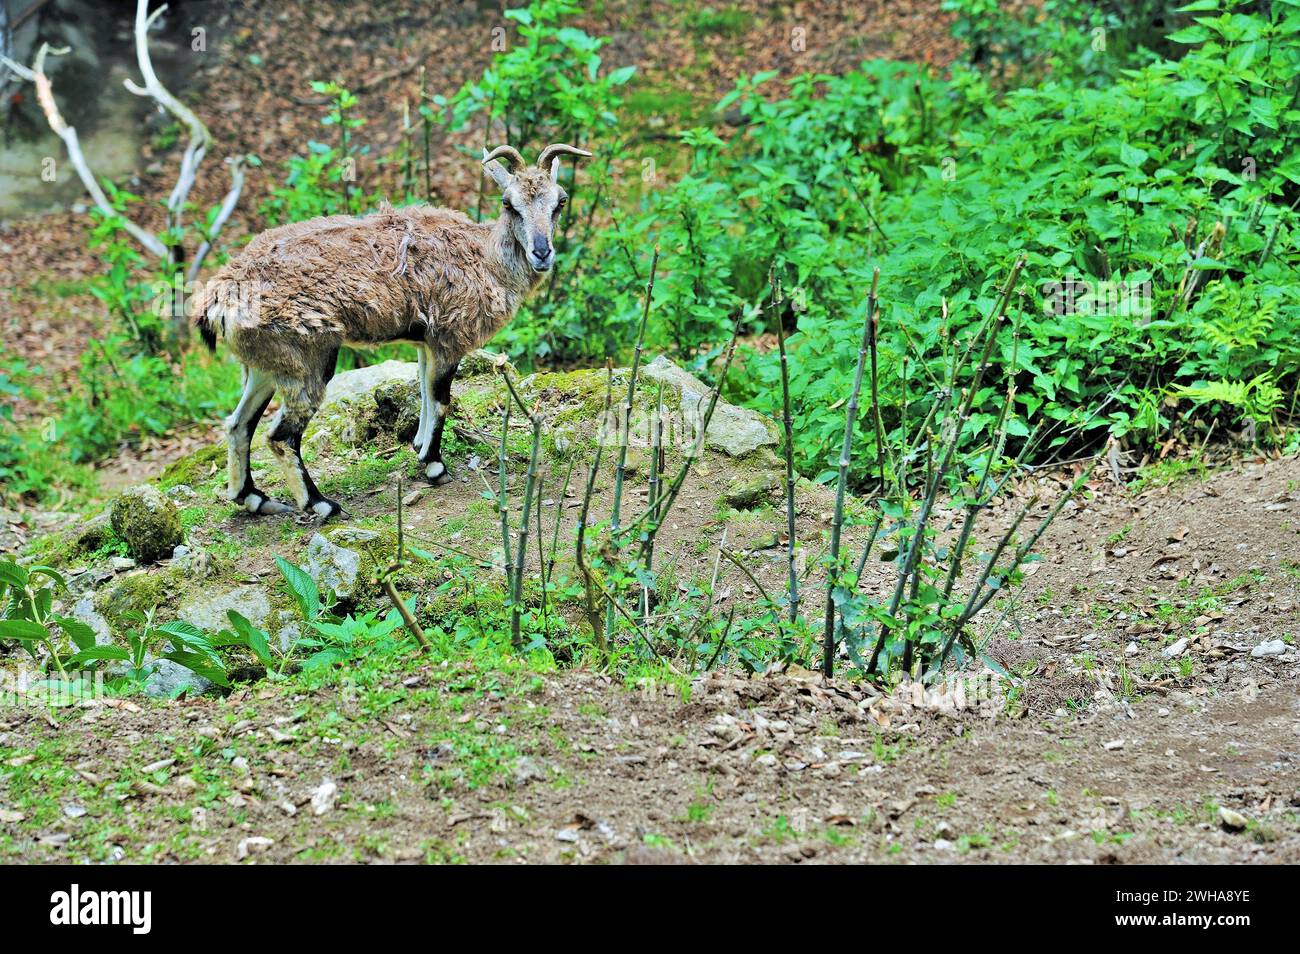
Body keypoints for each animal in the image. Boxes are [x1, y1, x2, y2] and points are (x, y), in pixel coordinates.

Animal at [193, 142, 591, 518]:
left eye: (560, 202)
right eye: (509, 203)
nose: (542, 252)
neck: (487, 259)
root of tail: (219, 297)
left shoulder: (424, 343)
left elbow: (425, 394)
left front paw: (419, 446)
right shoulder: (450, 338)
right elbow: (442, 400)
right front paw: (434, 466)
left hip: (263, 364)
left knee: (238, 424)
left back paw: (253, 497)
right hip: (306, 359)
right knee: (280, 436)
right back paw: (321, 505)